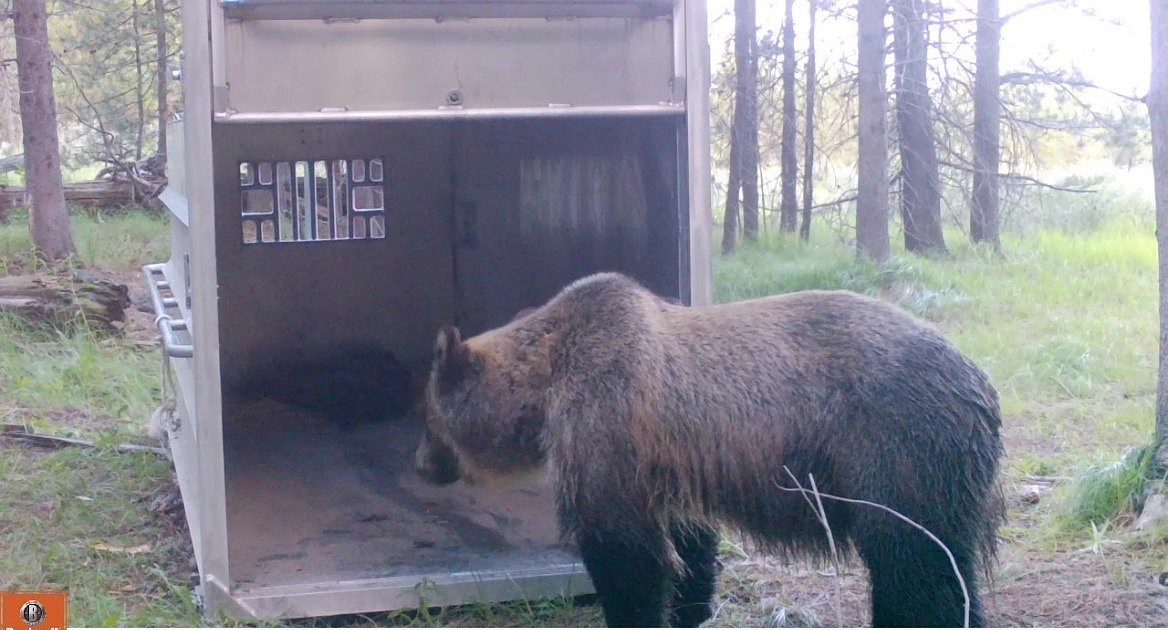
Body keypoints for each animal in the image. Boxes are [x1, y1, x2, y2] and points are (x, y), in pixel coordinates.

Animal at [414, 272, 1004, 628]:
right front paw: (689, 606)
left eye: (426, 417)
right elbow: (687, 541)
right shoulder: (672, 457)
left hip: (895, 449)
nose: (420, 464)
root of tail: (981, 383)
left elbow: (622, 550)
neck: (546, 383)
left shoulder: (606, 425)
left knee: (915, 564)